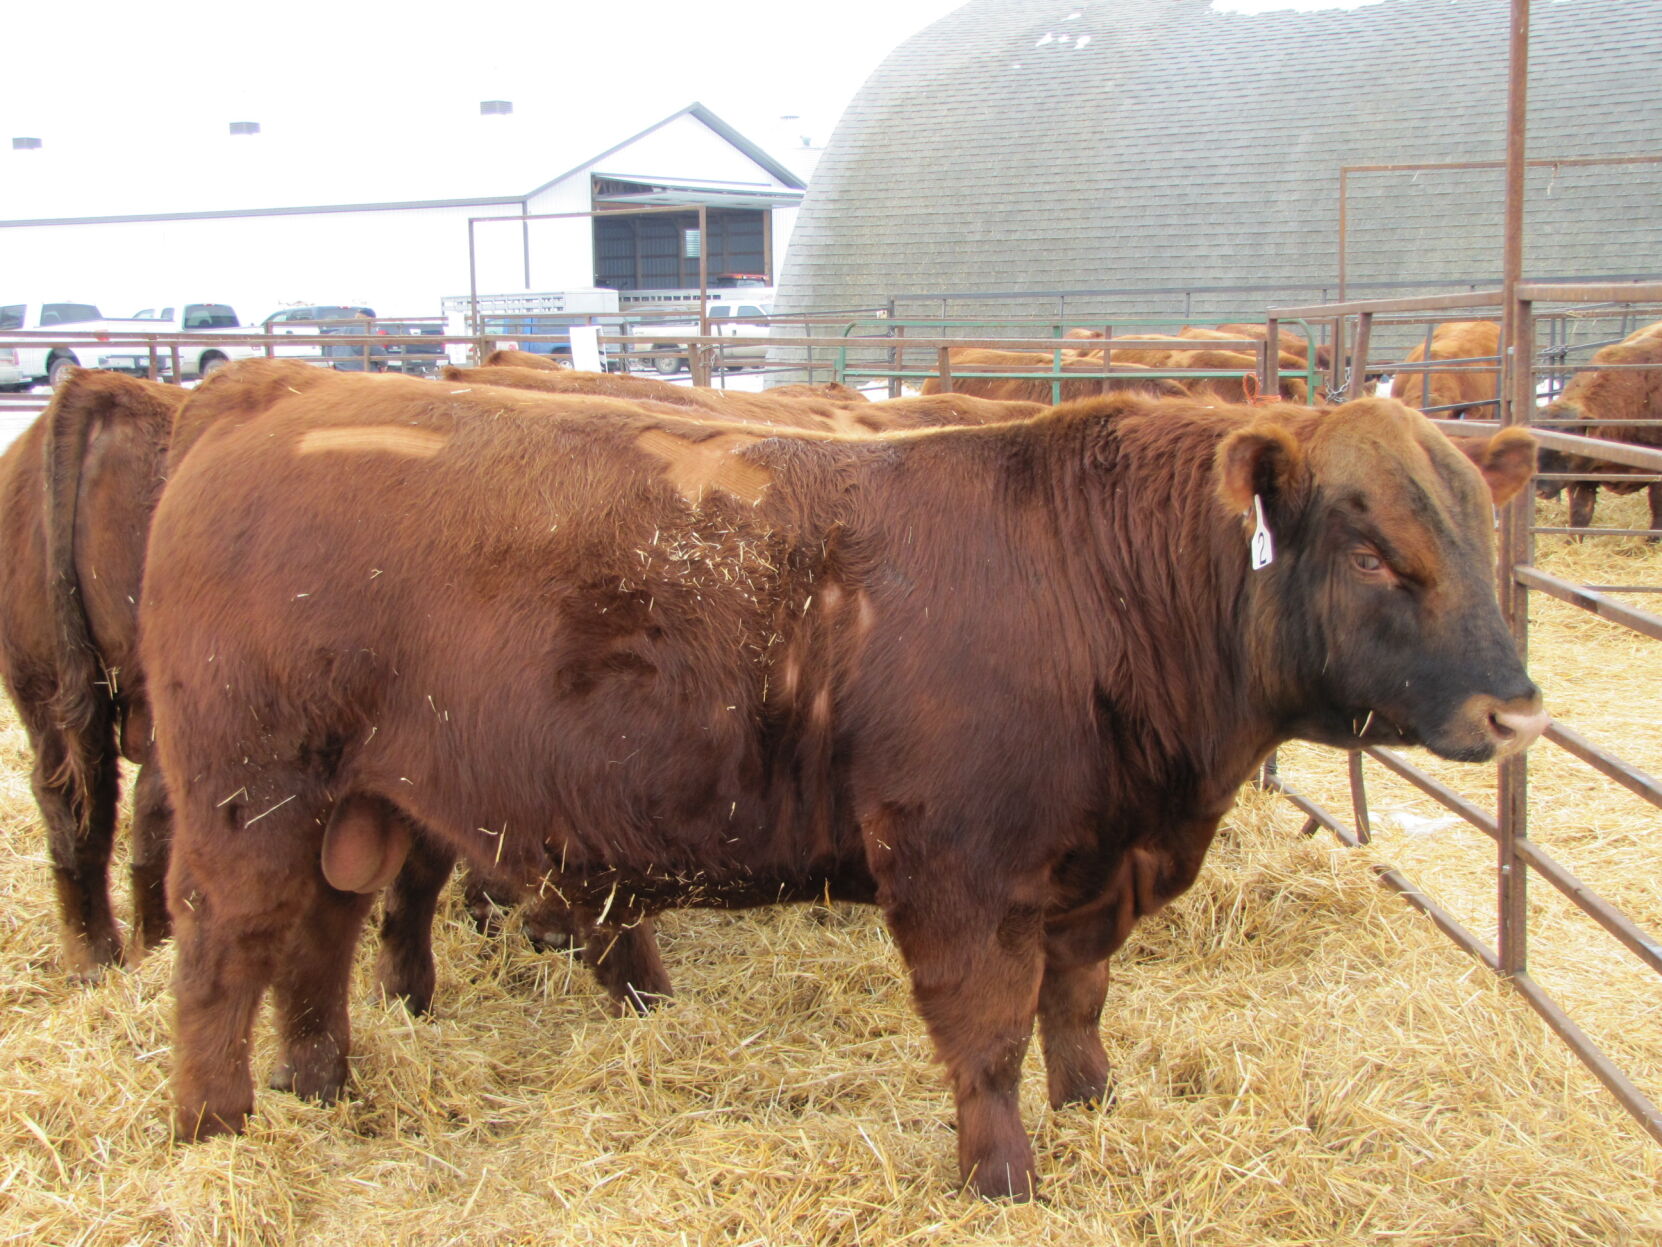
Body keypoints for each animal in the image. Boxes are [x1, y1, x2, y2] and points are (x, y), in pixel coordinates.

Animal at [0, 370, 184, 979]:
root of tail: (96, 387)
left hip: (39, 680)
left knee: (72, 799)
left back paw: (93, 954)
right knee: (153, 804)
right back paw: (156, 942)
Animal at [144, 364, 1545, 1199]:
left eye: (1479, 537)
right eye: (1376, 554)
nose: (1518, 708)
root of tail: (273, 384)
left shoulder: (1094, 866)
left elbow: (1077, 1003)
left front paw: (1095, 1106)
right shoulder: (956, 861)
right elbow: (986, 1029)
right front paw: (1003, 1174)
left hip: (354, 806)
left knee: (317, 946)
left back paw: (322, 1084)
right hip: (249, 794)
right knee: (221, 954)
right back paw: (215, 1128)